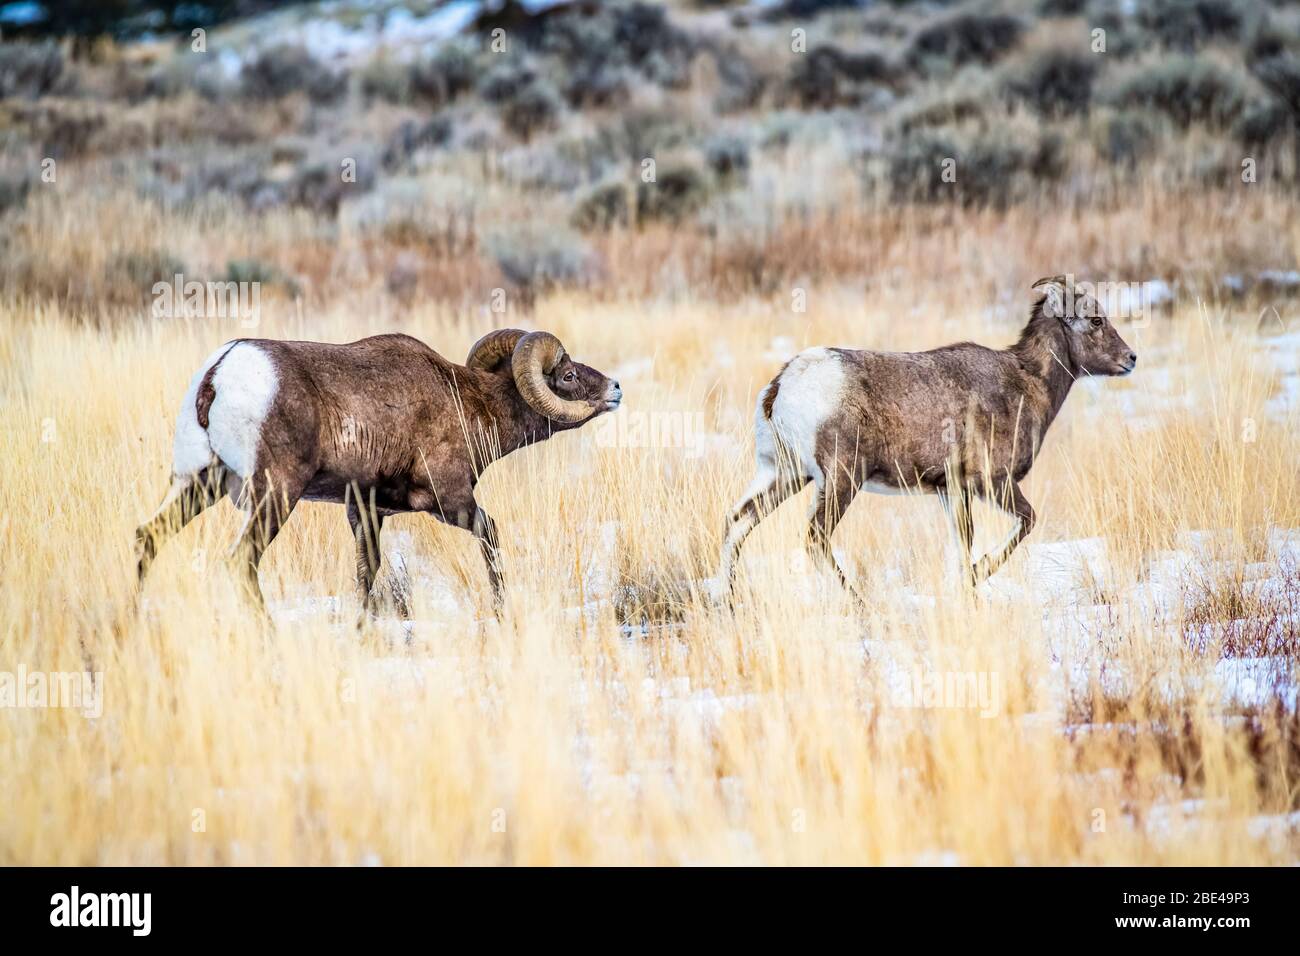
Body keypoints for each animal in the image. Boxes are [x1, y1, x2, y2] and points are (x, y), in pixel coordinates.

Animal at [135, 329, 622, 614]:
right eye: (569, 376)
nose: (616, 389)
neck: (469, 404)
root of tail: (218, 375)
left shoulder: (365, 510)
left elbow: (367, 572)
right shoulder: (451, 501)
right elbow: (491, 535)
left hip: (198, 484)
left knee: (148, 537)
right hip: (276, 495)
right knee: (240, 563)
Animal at [715, 276, 1137, 602]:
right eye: (1096, 319)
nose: (1131, 358)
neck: (1025, 384)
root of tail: (781, 386)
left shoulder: (952, 492)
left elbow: (963, 545)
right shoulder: (990, 482)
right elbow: (1025, 523)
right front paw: (977, 575)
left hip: (783, 474)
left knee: (736, 521)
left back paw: (729, 599)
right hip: (840, 479)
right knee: (815, 537)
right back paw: (858, 603)